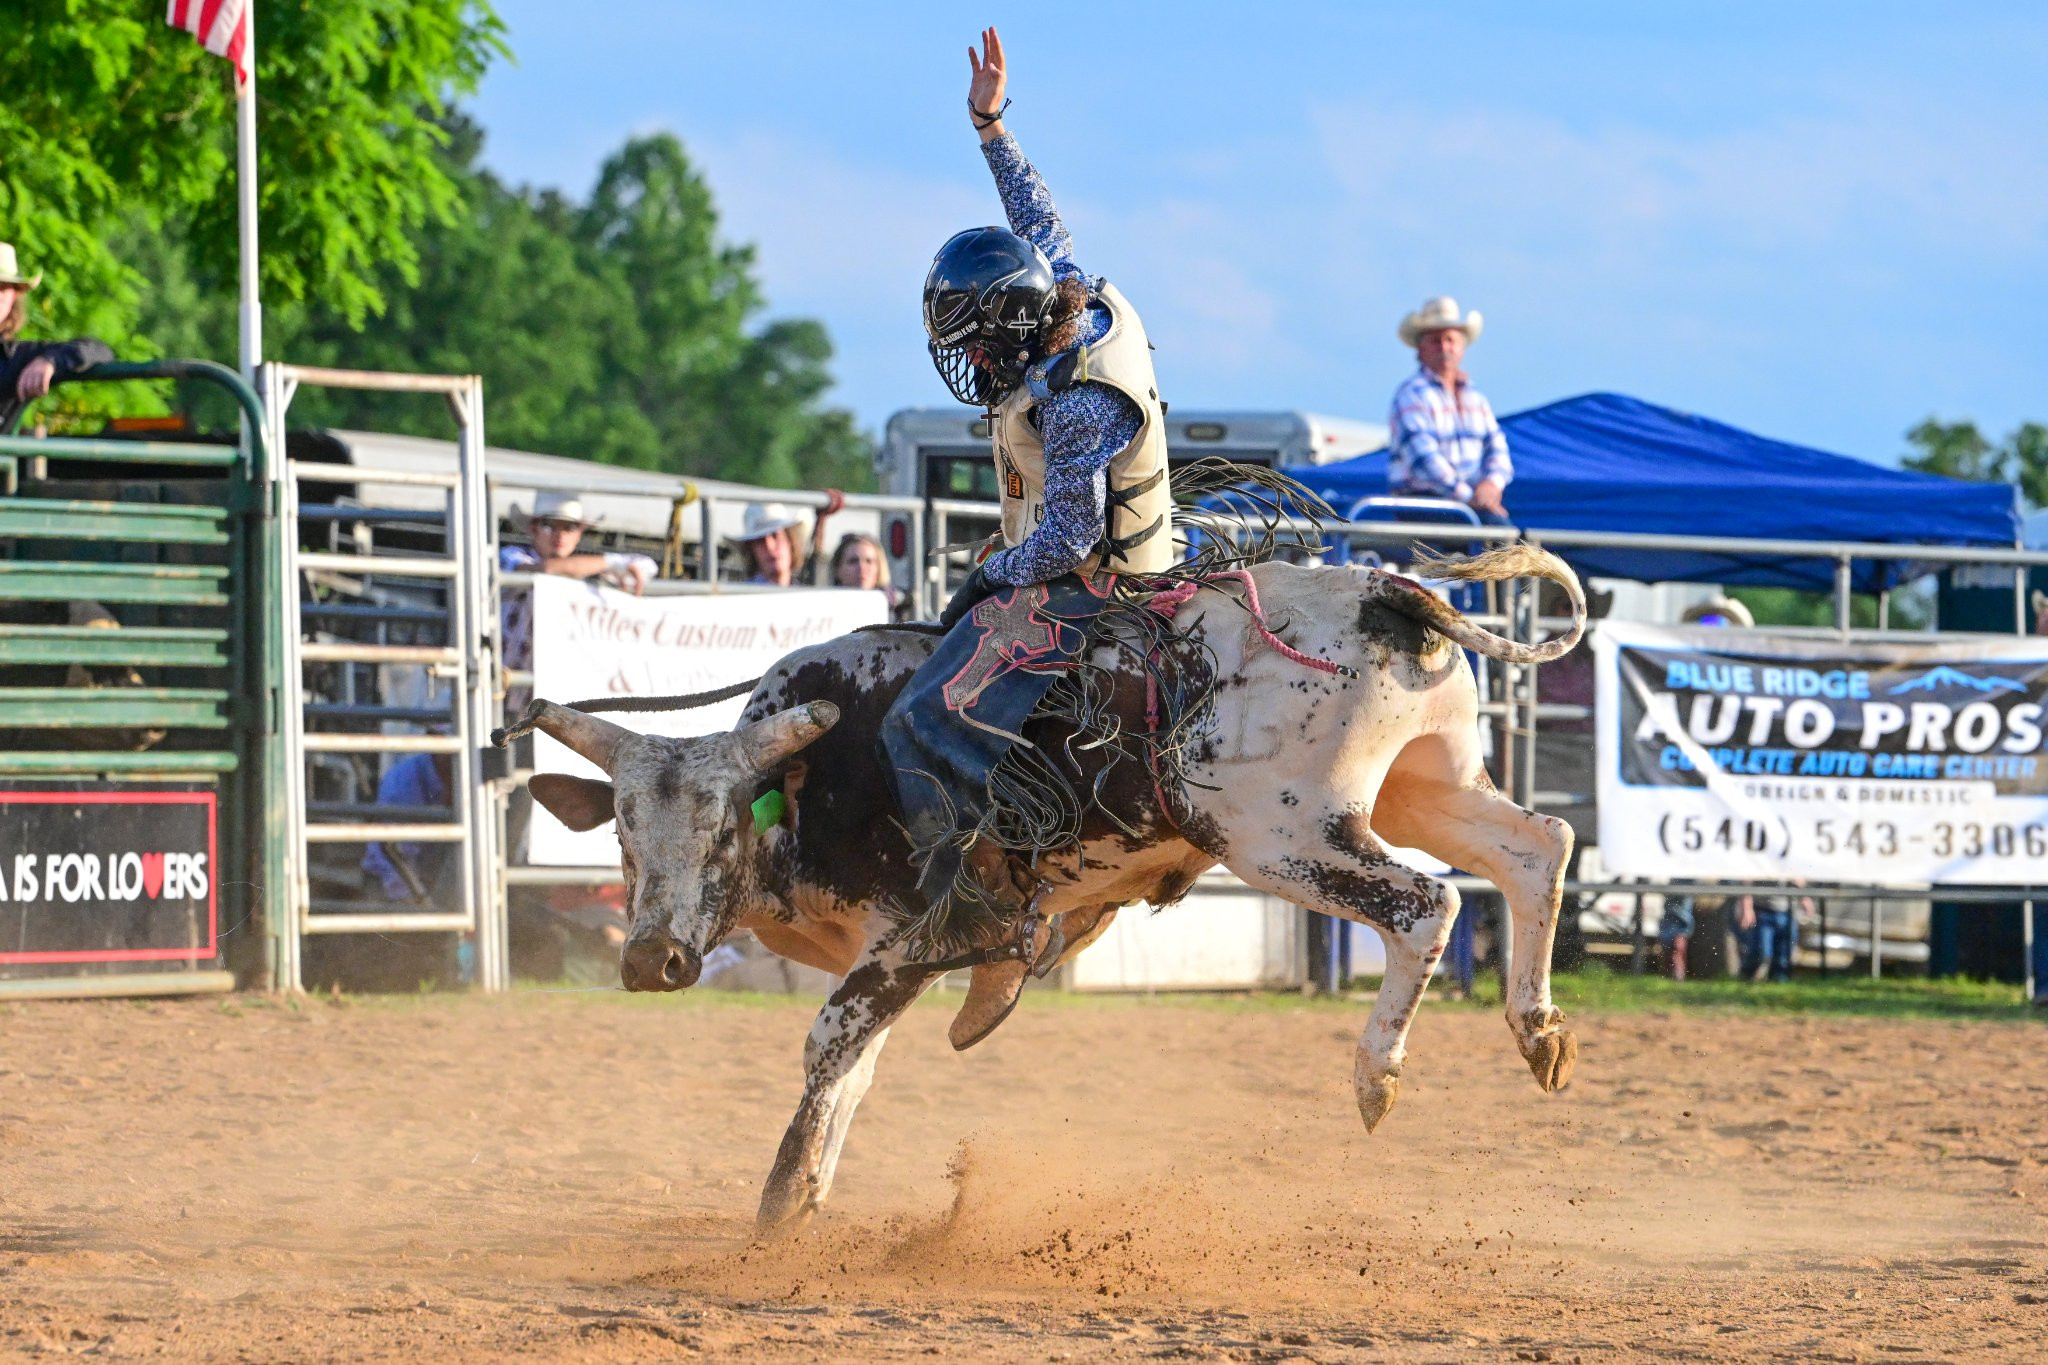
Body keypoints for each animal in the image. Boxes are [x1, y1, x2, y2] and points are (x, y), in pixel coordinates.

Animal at [495, 546, 1587, 1235]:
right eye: (624, 836)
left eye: (724, 824)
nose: (653, 959)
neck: (829, 768)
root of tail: (1387, 592)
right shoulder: (886, 959)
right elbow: (854, 1071)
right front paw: (805, 1196)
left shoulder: (914, 939)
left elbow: (827, 1049)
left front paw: (776, 1207)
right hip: (1428, 787)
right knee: (1538, 847)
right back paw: (1538, 1030)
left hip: (1279, 836)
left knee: (1427, 905)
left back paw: (1377, 1074)